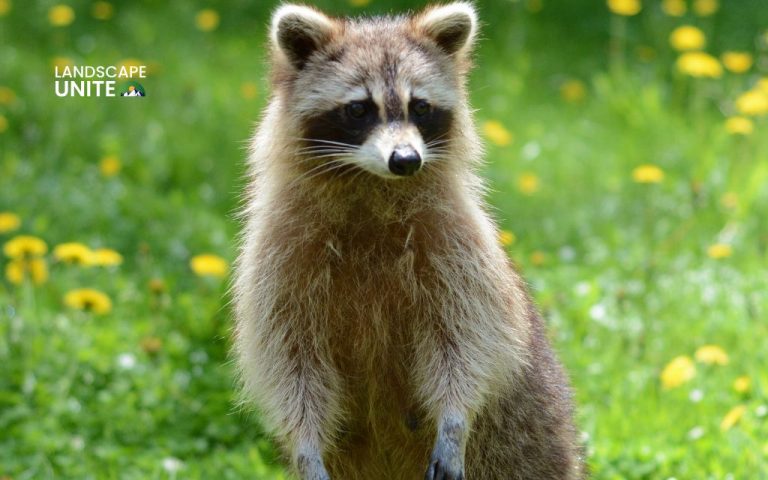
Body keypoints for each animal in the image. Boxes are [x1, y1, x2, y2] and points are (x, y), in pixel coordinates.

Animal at [233, 3, 583, 479]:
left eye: (420, 107)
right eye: (359, 109)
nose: (405, 160)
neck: (372, 184)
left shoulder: (456, 243)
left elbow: (469, 335)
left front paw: (454, 421)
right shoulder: (280, 254)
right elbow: (289, 359)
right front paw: (305, 444)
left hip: (526, 431)